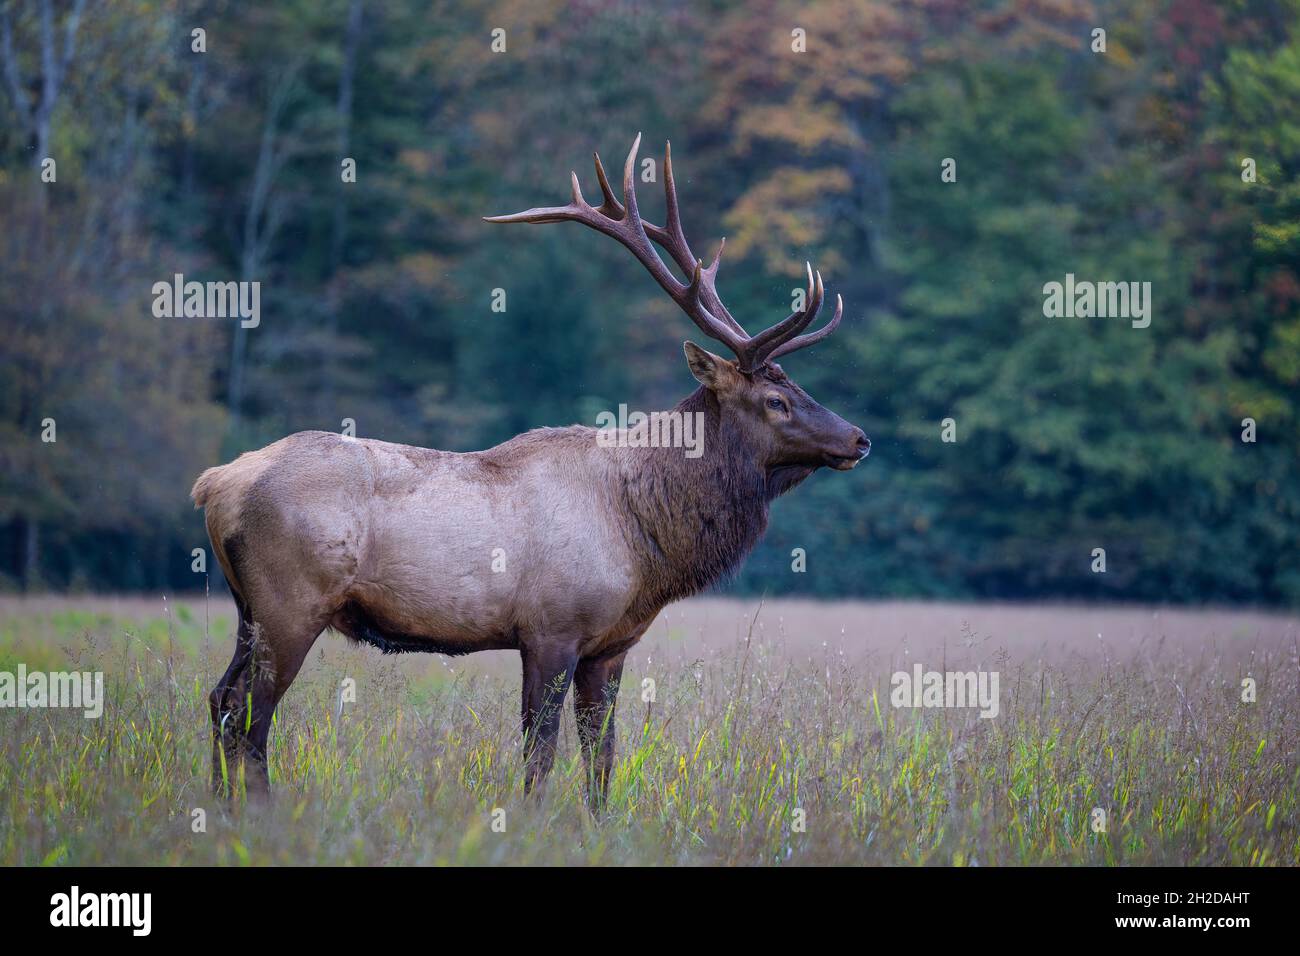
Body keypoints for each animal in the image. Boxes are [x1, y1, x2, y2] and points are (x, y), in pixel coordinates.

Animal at [192, 134, 869, 803]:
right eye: (776, 400)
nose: (860, 439)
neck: (644, 539)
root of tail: (214, 484)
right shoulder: (550, 629)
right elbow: (539, 756)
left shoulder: (609, 646)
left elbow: (602, 761)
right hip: (291, 604)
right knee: (250, 714)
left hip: (248, 609)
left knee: (221, 699)